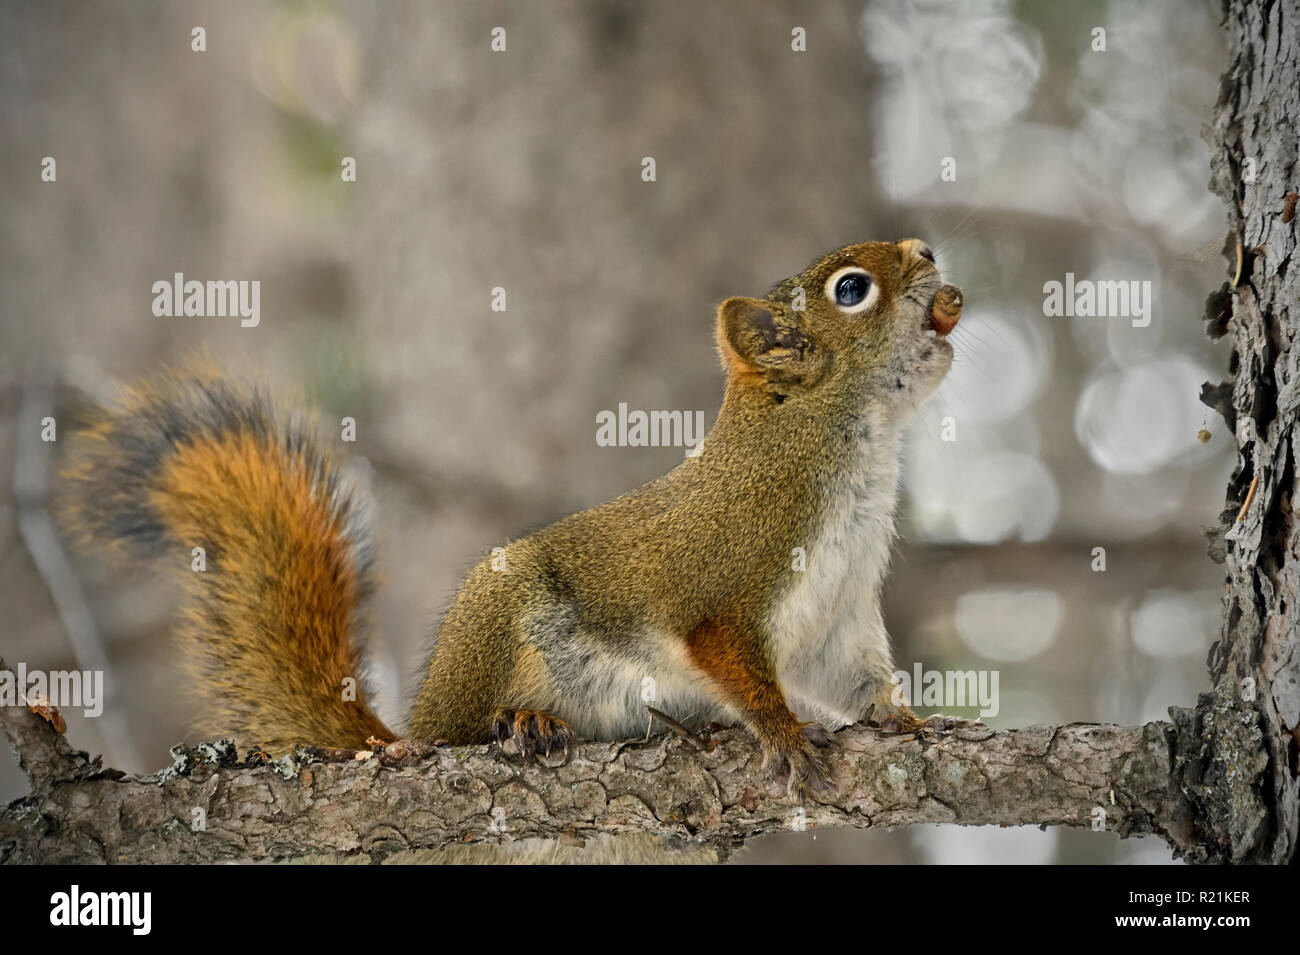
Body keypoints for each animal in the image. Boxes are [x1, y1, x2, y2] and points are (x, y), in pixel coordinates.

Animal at [61, 238, 963, 800]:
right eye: (852, 289)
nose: (928, 254)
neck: (851, 447)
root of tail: (409, 724)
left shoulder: (840, 613)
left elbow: (851, 679)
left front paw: (906, 715)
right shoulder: (729, 573)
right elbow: (730, 654)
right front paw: (781, 732)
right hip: (496, 621)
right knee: (466, 726)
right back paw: (521, 720)